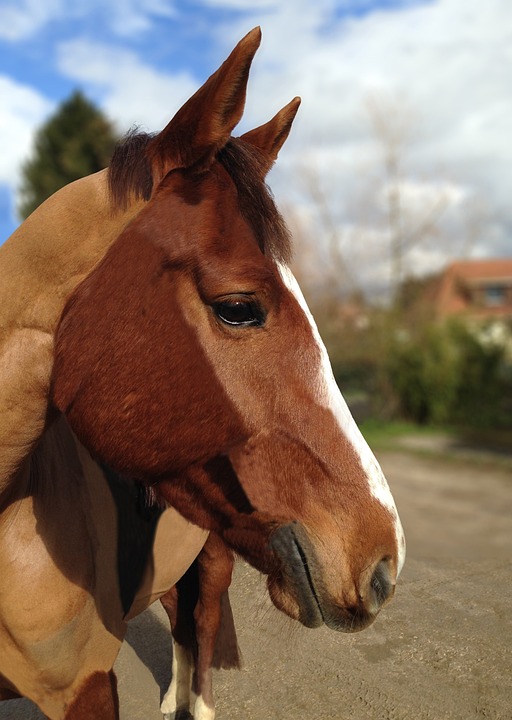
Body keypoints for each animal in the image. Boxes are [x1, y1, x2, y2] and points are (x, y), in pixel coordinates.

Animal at [0, 27, 405, 720]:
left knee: (204, 619)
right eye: (239, 307)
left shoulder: (87, 685)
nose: (383, 562)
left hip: (215, 556)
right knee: (180, 618)